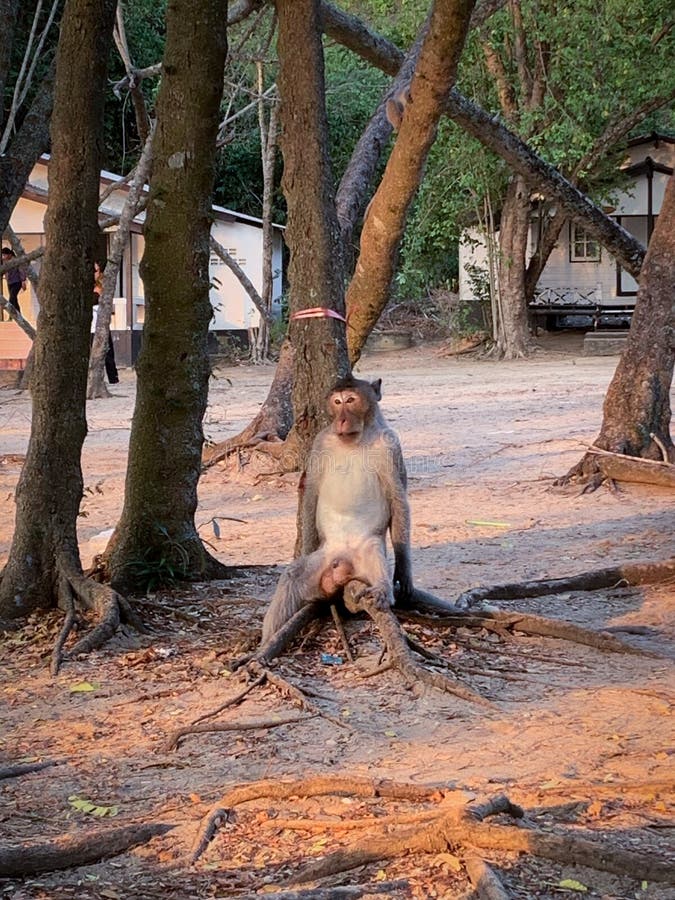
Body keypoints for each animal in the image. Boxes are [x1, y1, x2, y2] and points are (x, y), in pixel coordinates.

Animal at [261, 375, 414, 642]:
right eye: (337, 401)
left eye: (351, 400)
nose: (341, 419)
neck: (354, 439)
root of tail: (341, 564)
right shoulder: (321, 442)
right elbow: (310, 490)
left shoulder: (390, 446)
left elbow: (398, 498)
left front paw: (403, 571)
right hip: (321, 562)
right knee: (291, 578)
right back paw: (267, 640)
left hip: (363, 559)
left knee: (374, 552)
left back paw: (382, 590)